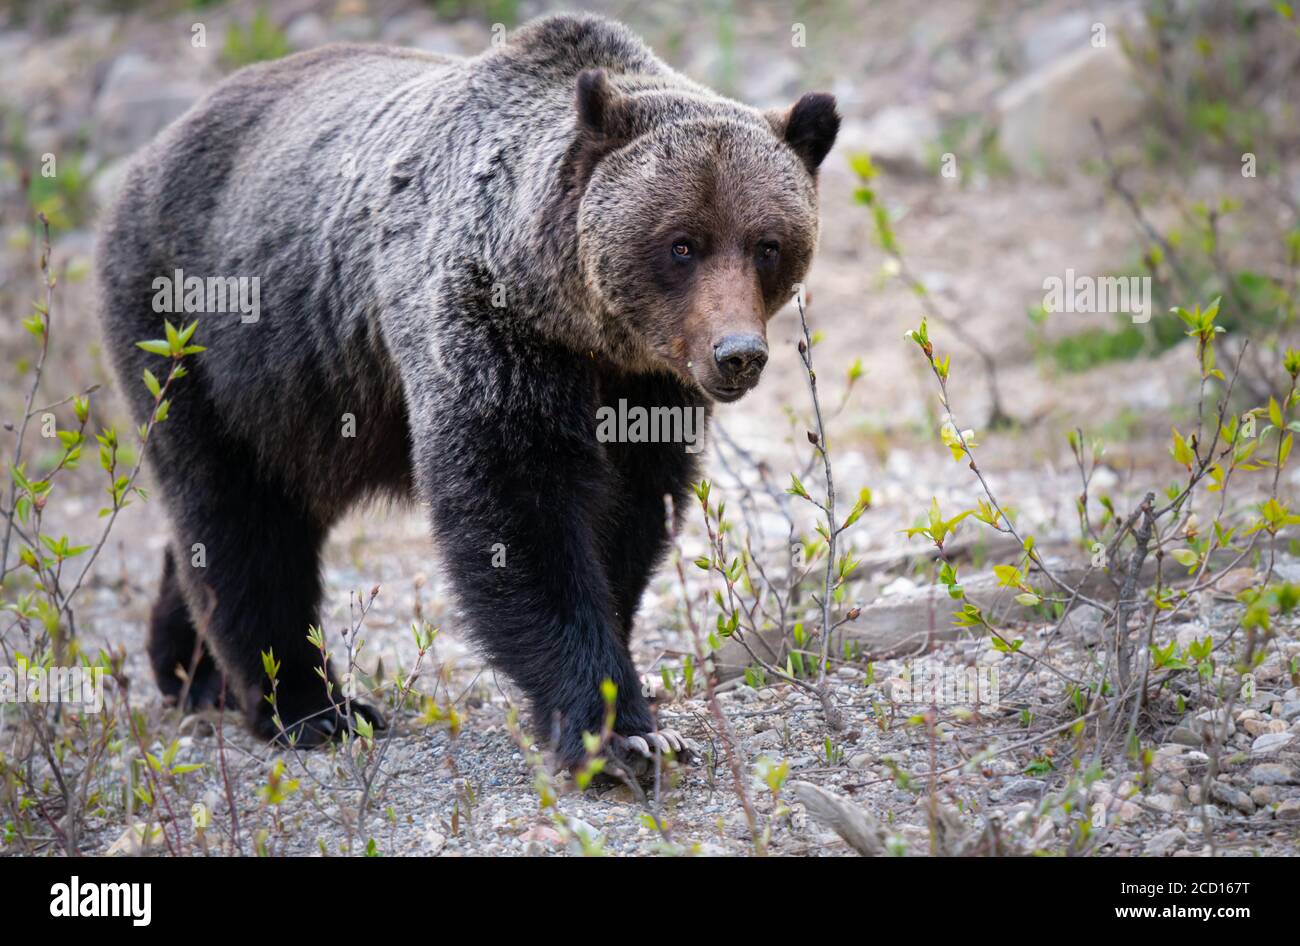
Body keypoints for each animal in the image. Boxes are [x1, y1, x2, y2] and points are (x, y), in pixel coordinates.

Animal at [96, 13, 839, 774]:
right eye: (682, 243)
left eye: (767, 244)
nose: (737, 353)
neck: (579, 325)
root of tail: (156, 148)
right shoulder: (486, 327)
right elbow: (516, 512)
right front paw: (616, 732)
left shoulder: (646, 387)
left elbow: (628, 518)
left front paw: (630, 713)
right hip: (199, 335)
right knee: (236, 515)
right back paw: (311, 706)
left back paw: (192, 670)